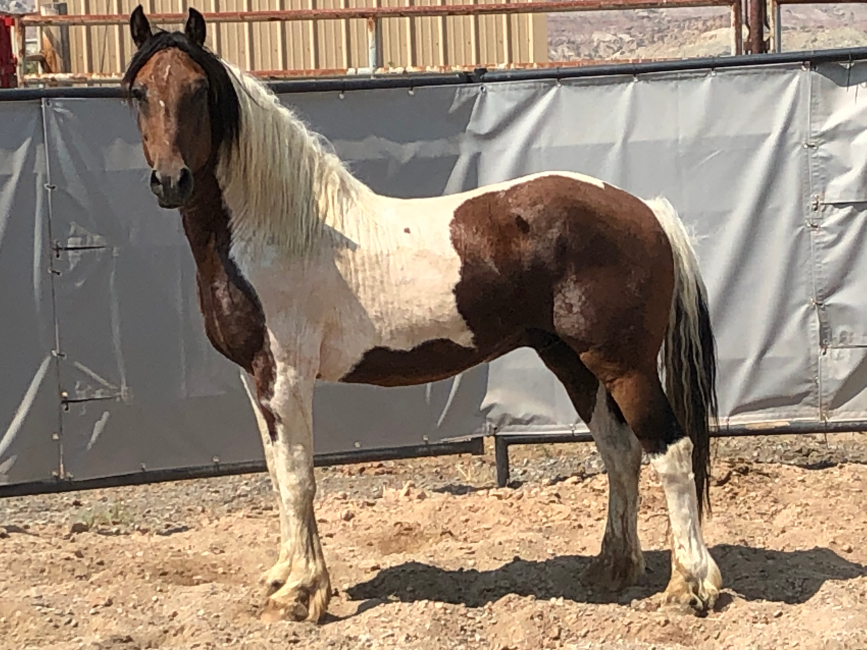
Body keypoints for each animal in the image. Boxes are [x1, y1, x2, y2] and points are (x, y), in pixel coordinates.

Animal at [122, 5, 722, 623]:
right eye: (138, 91)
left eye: (198, 90)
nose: (171, 181)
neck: (277, 232)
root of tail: (645, 209)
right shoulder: (256, 377)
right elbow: (277, 471)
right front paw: (285, 577)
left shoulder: (285, 374)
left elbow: (297, 477)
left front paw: (302, 592)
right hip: (574, 362)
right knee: (620, 451)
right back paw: (613, 568)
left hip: (623, 366)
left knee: (670, 452)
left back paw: (690, 586)